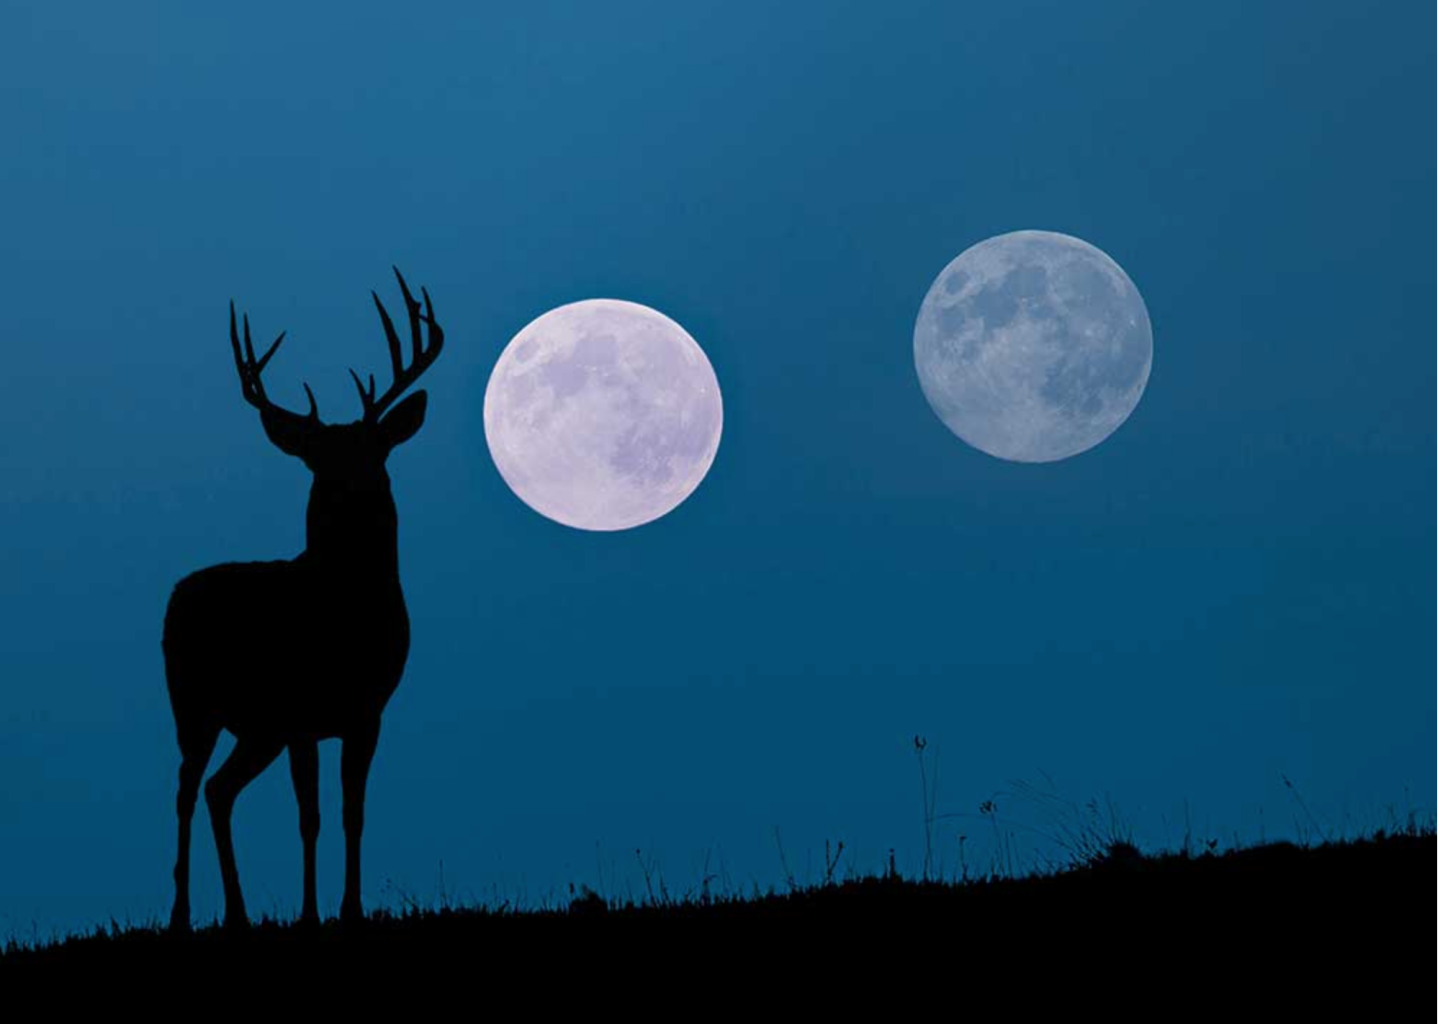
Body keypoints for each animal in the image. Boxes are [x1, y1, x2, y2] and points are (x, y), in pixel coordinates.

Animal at [162, 268, 444, 931]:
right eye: (317, 459)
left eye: (373, 449)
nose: (348, 489)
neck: (343, 608)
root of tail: (178, 592)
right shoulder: (299, 713)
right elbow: (308, 816)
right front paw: (312, 913)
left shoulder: (367, 711)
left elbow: (352, 813)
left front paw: (351, 910)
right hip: (194, 704)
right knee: (186, 789)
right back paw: (181, 913)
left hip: (254, 729)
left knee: (218, 790)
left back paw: (237, 914)